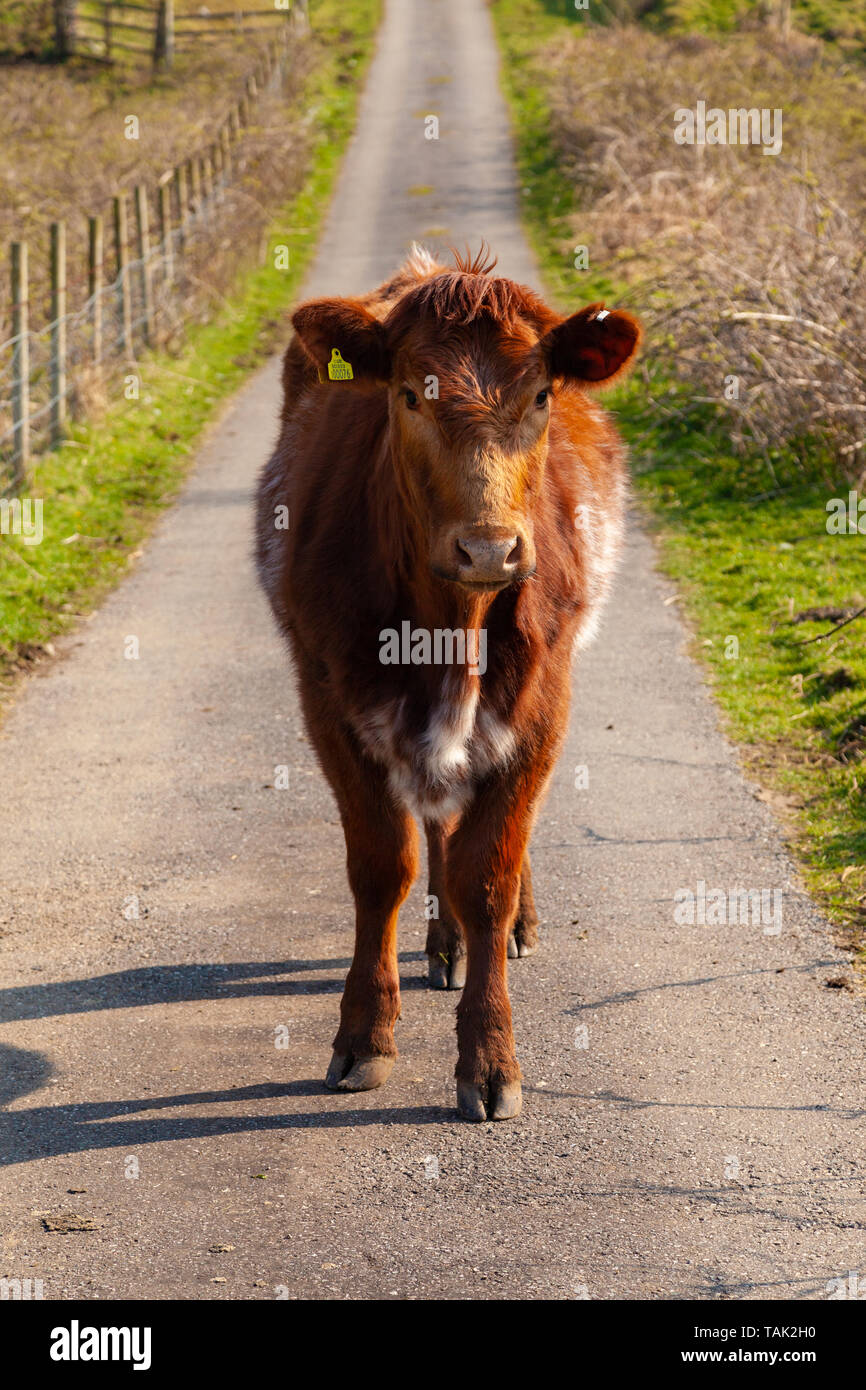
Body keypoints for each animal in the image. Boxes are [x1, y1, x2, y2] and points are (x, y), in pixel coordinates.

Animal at [256, 246, 640, 1121]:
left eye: (542, 395)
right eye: (407, 395)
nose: (490, 550)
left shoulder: (541, 707)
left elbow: (487, 872)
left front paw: (490, 1057)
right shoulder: (327, 702)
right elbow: (383, 865)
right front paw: (365, 1034)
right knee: (436, 828)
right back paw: (444, 943)